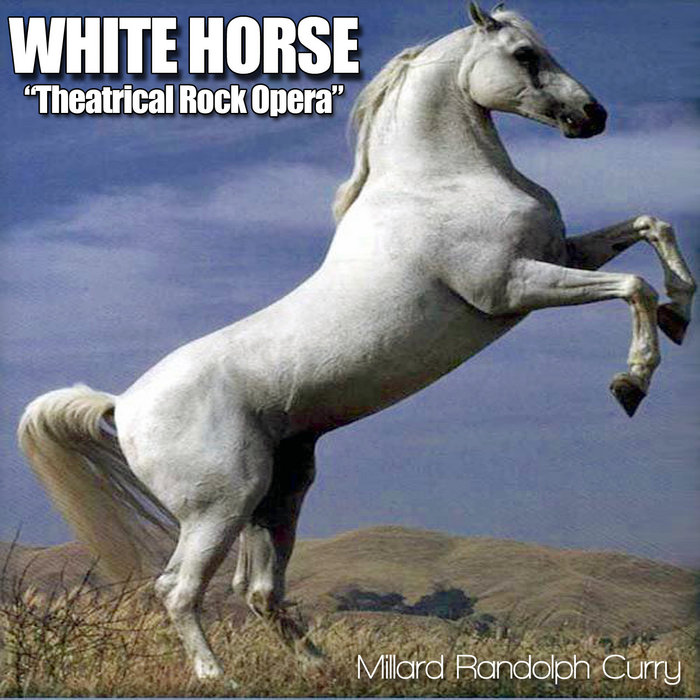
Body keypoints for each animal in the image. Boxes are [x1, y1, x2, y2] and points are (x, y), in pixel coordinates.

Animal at [18, 2, 695, 683]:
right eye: (524, 54)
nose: (592, 116)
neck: (444, 182)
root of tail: (122, 402)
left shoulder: (562, 255)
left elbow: (650, 226)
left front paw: (680, 310)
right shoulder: (513, 287)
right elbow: (632, 286)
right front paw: (631, 382)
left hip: (278, 494)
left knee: (259, 591)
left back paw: (321, 668)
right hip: (220, 505)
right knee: (179, 589)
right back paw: (219, 677)